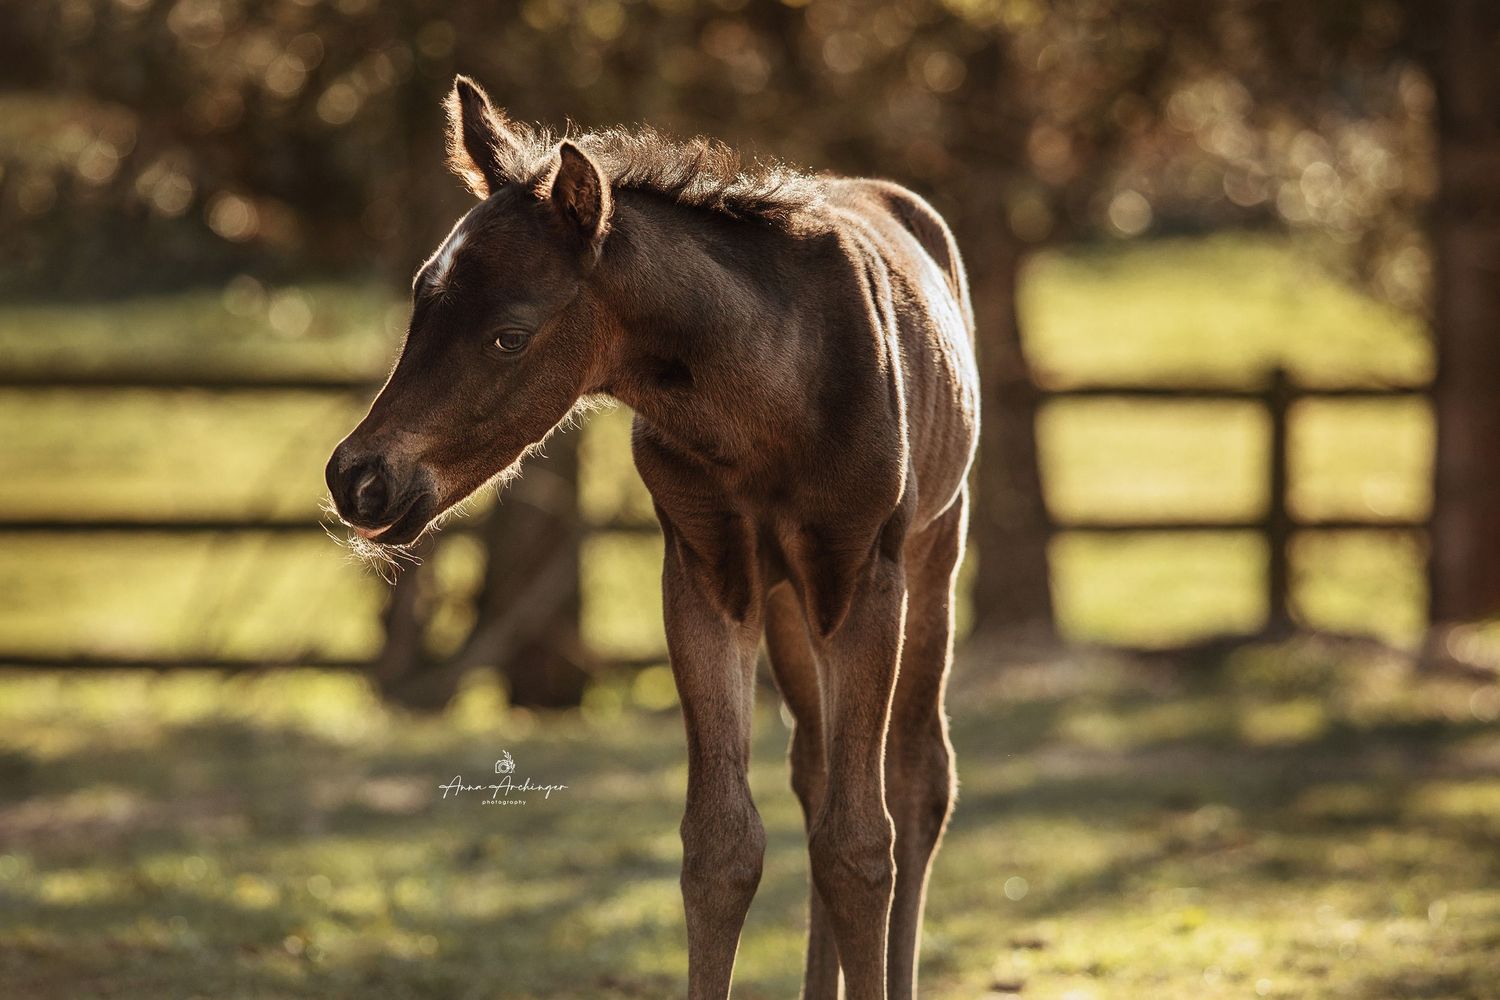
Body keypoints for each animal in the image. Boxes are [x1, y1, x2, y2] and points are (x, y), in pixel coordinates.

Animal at [325, 75, 979, 1000]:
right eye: (421, 303)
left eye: (509, 334)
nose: (357, 479)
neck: (771, 396)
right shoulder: (707, 579)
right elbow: (722, 846)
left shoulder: (863, 578)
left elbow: (862, 846)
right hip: (789, 601)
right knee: (815, 775)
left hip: (930, 555)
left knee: (918, 780)